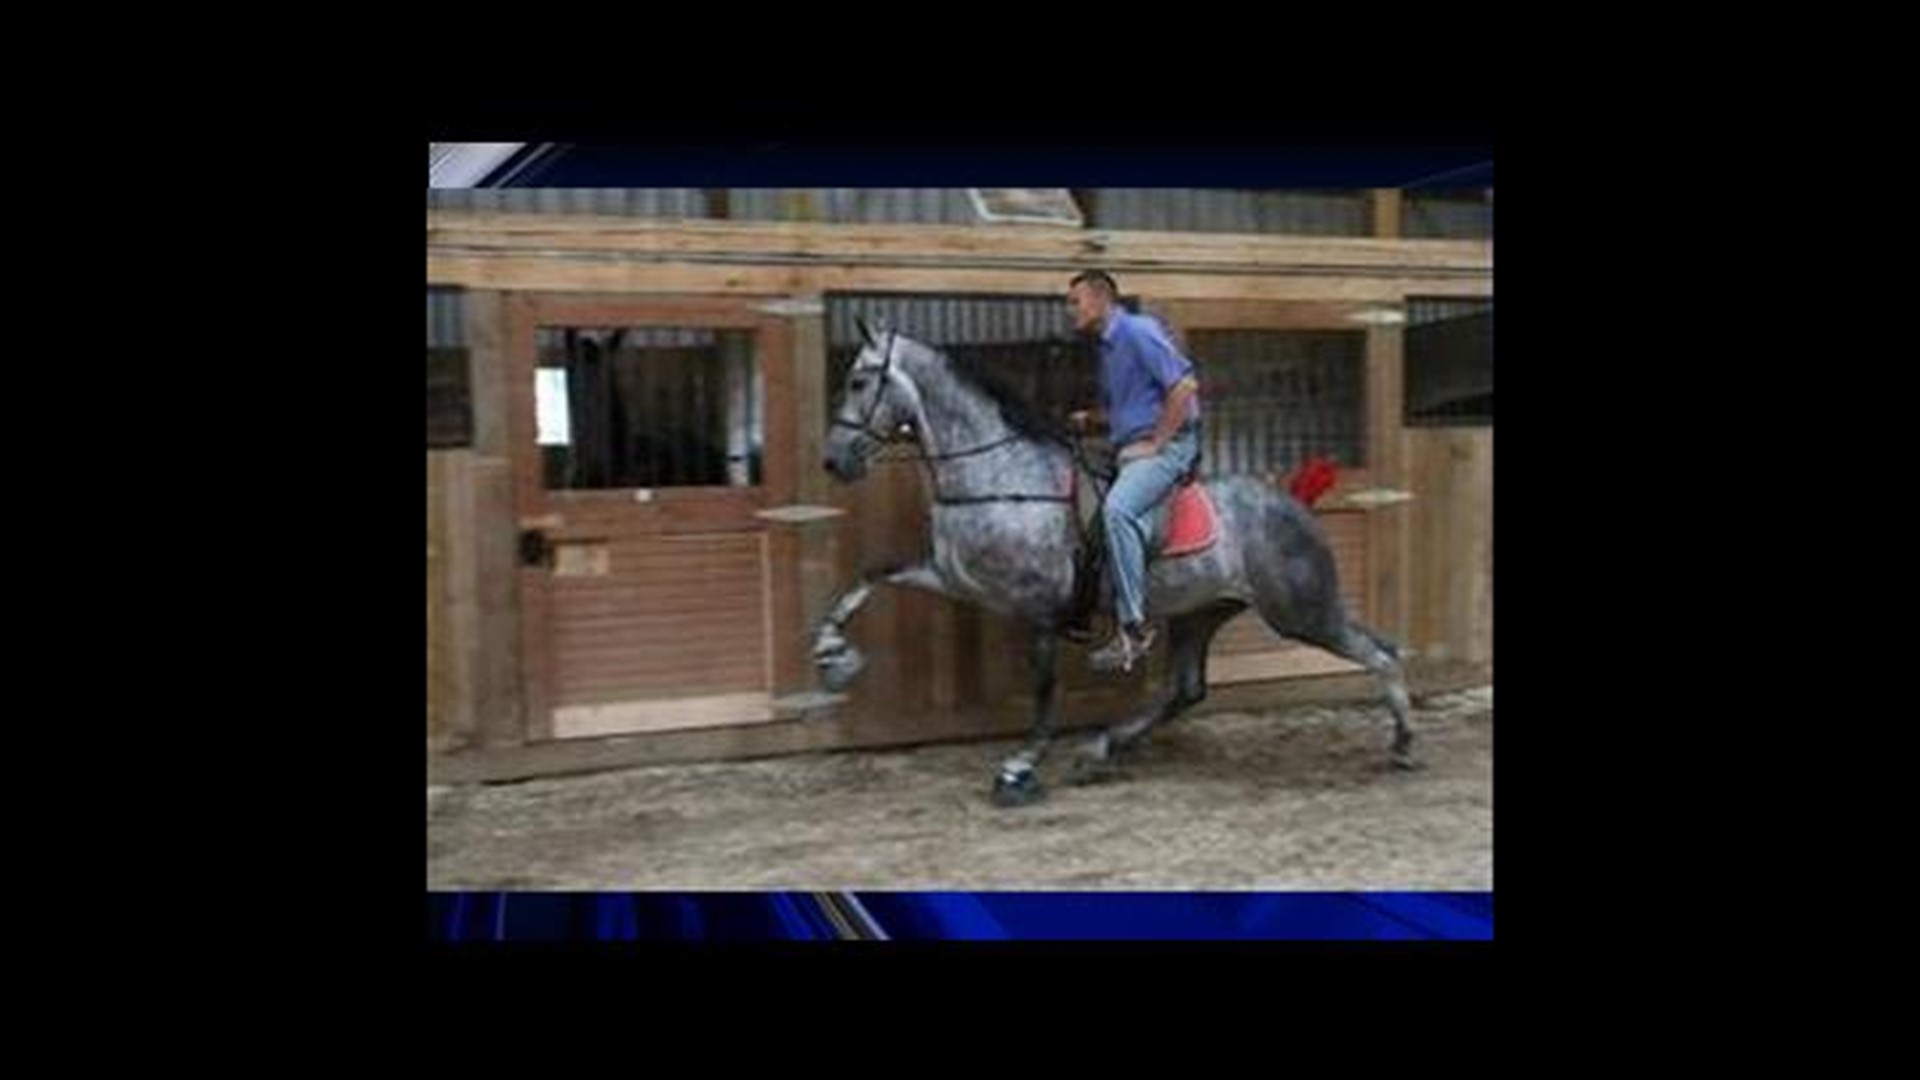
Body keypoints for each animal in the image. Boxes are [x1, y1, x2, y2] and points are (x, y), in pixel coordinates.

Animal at [815, 320, 1414, 806]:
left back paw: (1405, 746)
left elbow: (1043, 686)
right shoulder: (953, 577)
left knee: (1380, 653)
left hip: (1301, 611)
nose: (834, 460)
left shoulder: (1040, 606)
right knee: (1187, 689)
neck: (1002, 475)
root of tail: (1293, 501)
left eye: (859, 382)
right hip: (1203, 611)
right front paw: (832, 655)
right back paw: (1102, 750)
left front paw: (1020, 768)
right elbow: (872, 576)